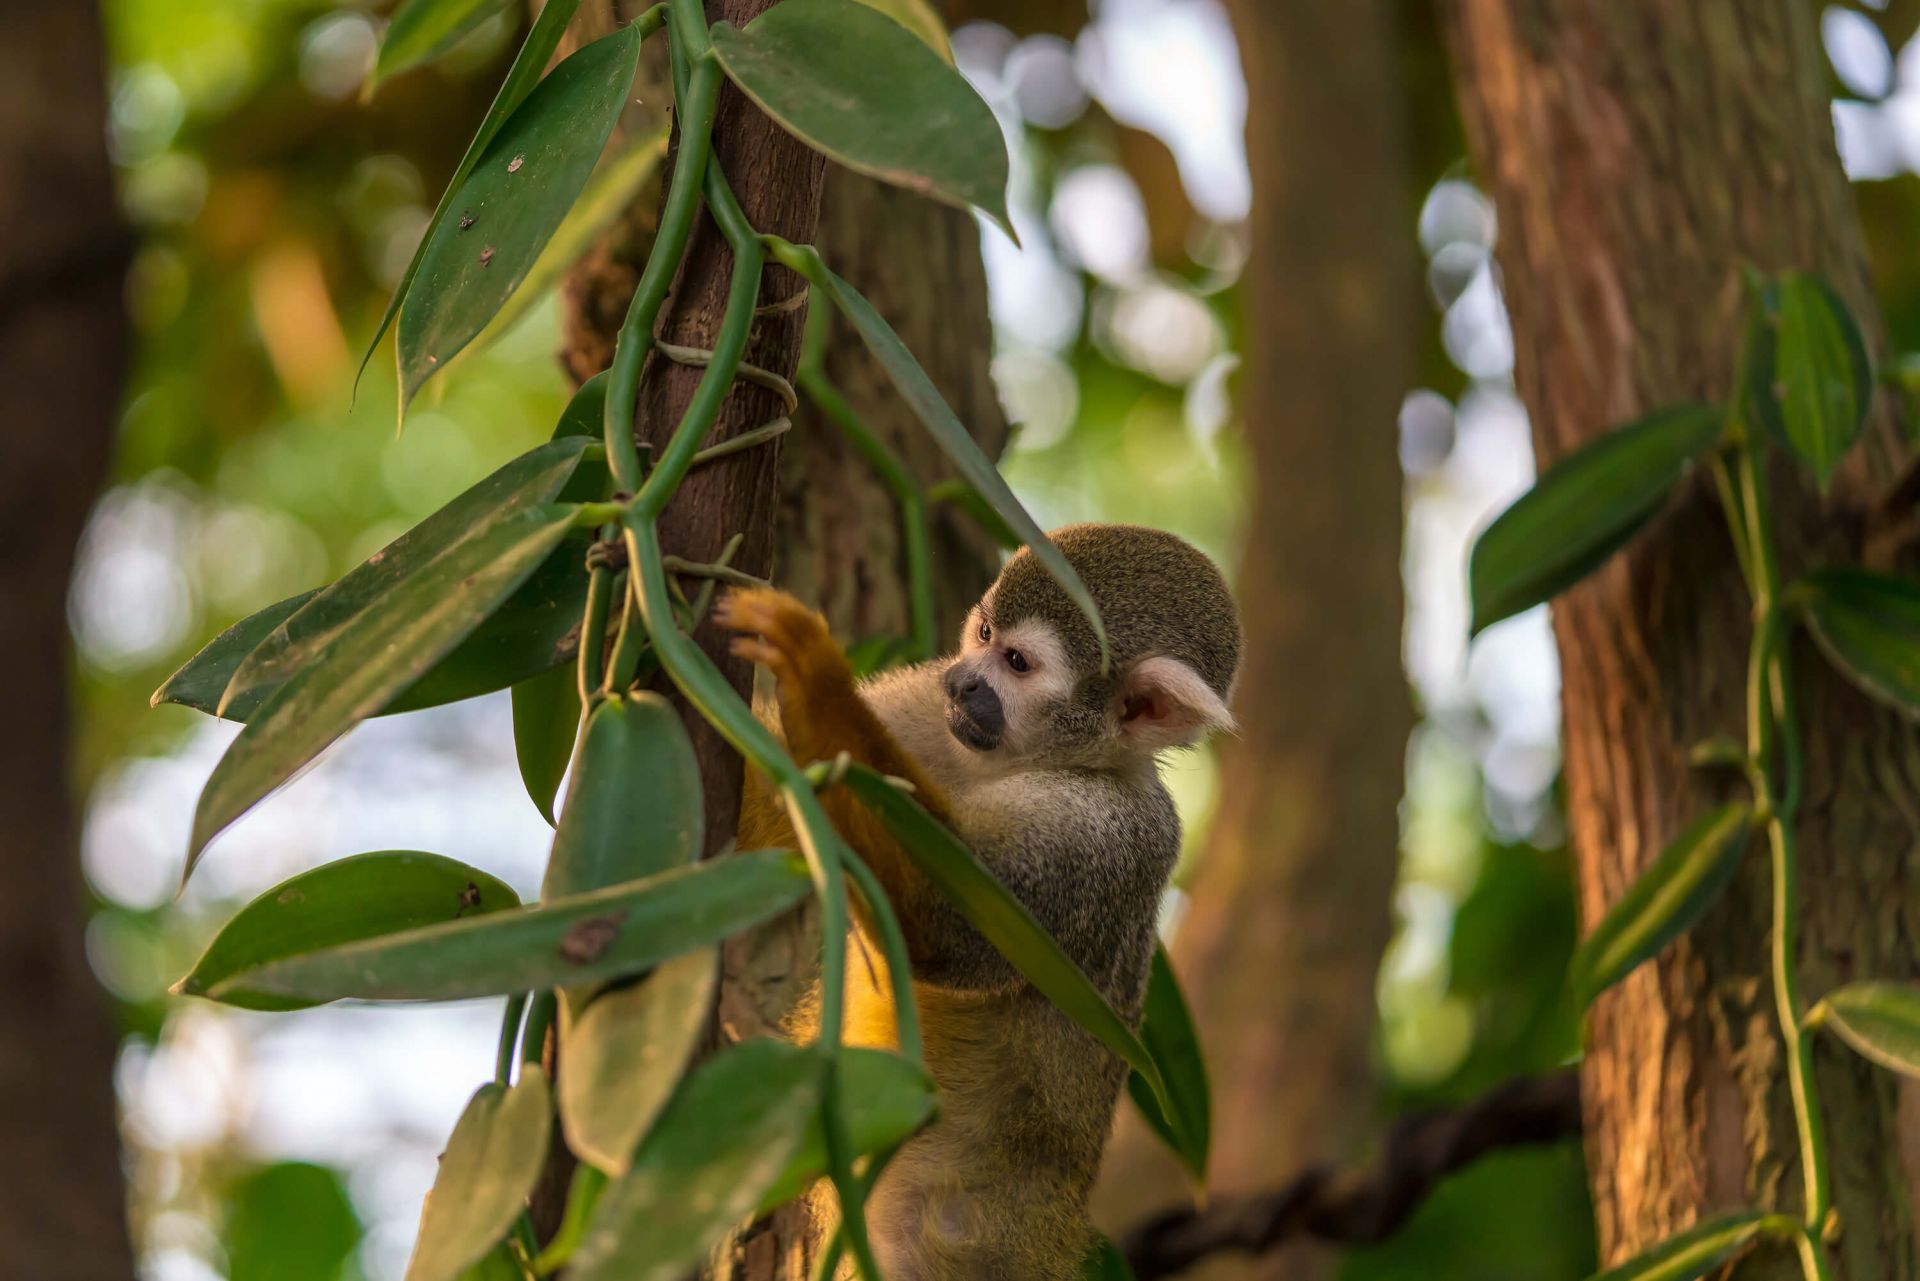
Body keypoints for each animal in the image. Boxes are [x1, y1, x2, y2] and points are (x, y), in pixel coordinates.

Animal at [715, 522, 1242, 1281]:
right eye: (984, 631)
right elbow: (784, 818)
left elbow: (954, 932)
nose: (963, 681)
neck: (1027, 760)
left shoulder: (1115, 831)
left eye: (1017, 663)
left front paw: (813, 677)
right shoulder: (922, 706)